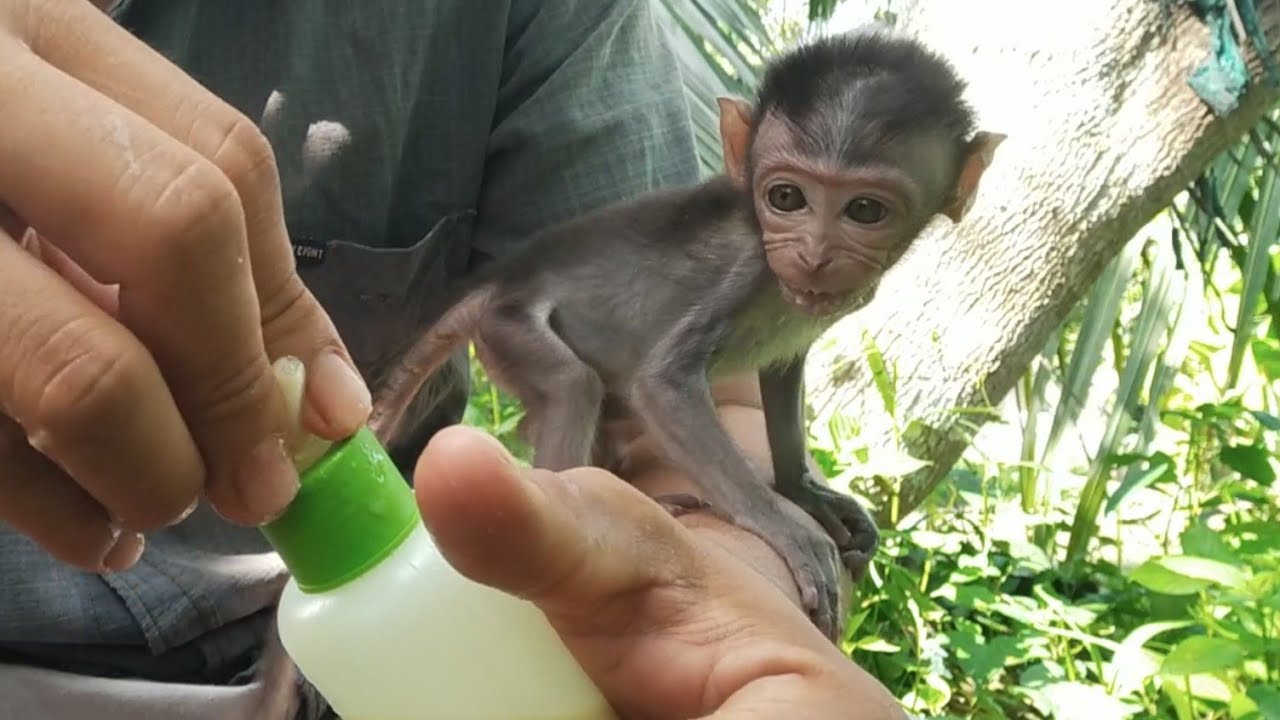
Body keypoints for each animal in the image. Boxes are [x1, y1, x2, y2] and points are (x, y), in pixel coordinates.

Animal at [367, 27, 1003, 640]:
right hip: (511, 324)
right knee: (574, 384)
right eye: (787, 197)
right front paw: (786, 526)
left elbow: (781, 371)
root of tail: (506, 276)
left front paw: (801, 491)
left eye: (865, 210)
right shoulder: (745, 266)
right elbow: (663, 384)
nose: (815, 255)